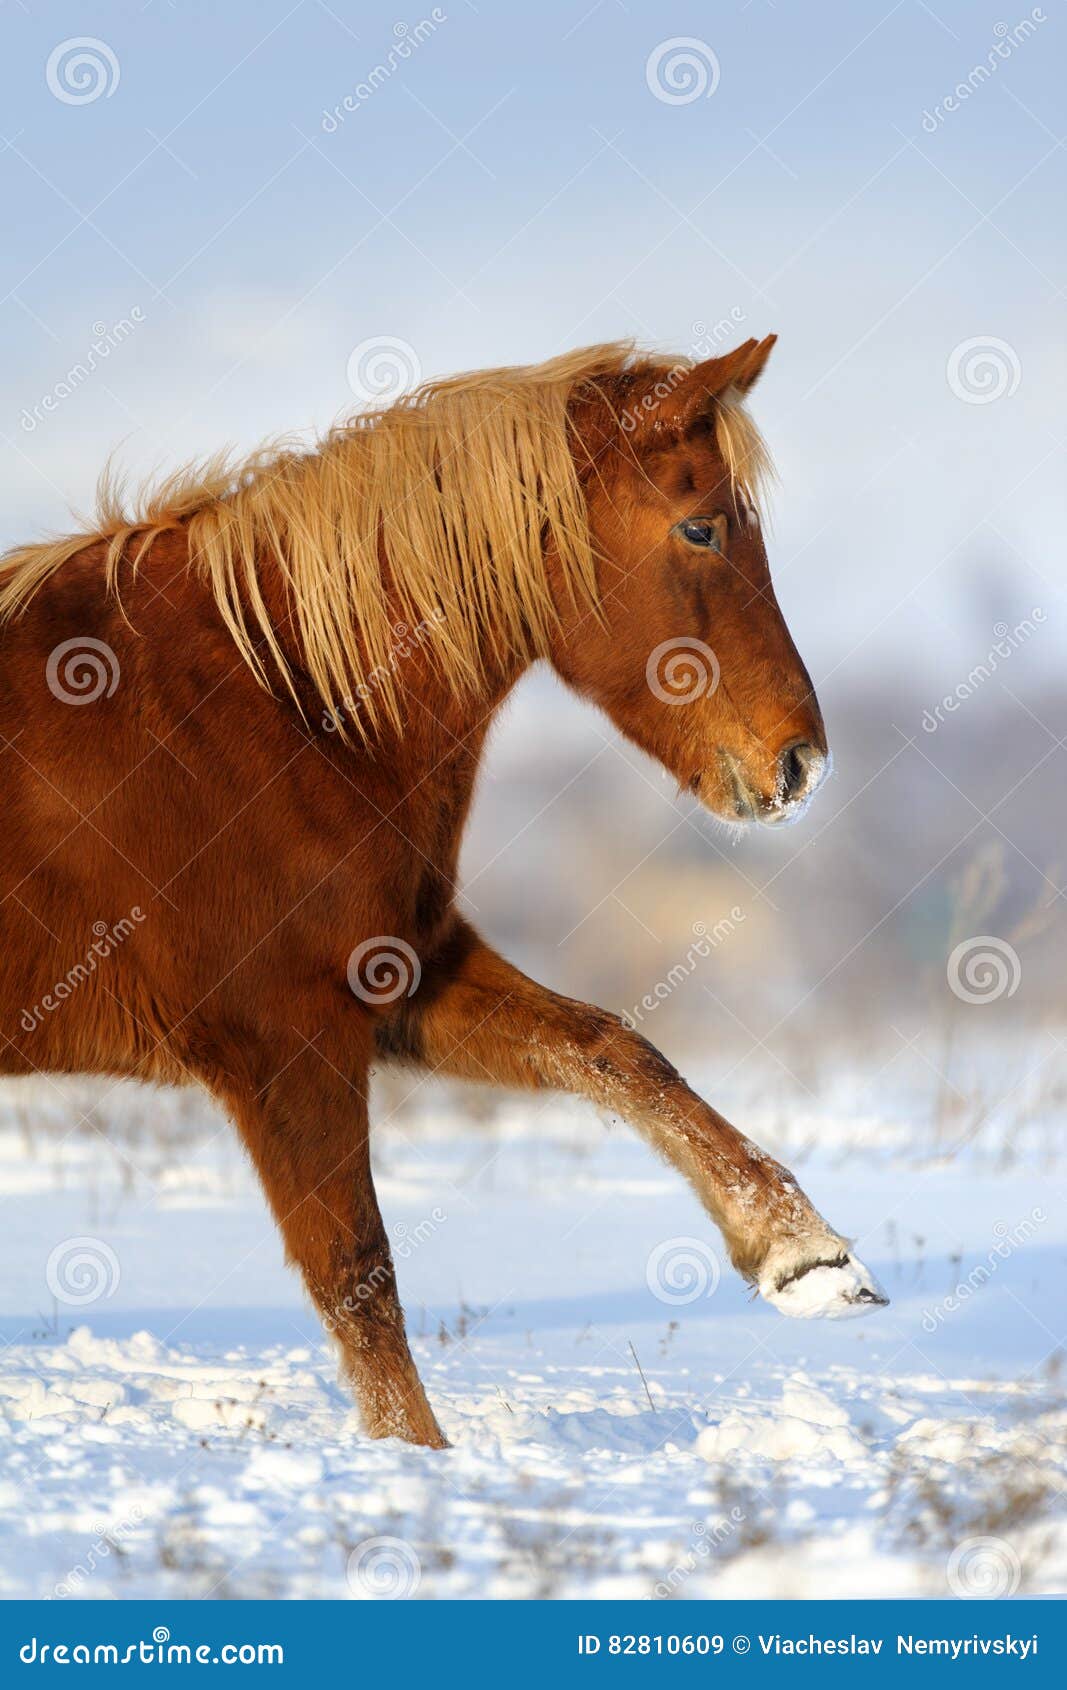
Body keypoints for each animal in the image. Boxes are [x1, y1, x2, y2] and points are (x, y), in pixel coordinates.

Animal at [0, 335, 886, 1449]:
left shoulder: (399, 980)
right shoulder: (282, 1039)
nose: (799, 762)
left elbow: (614, 1051)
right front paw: (417, 1461)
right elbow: (357, 1276)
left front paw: (800, 1252)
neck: (276, 703)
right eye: (700, 525)